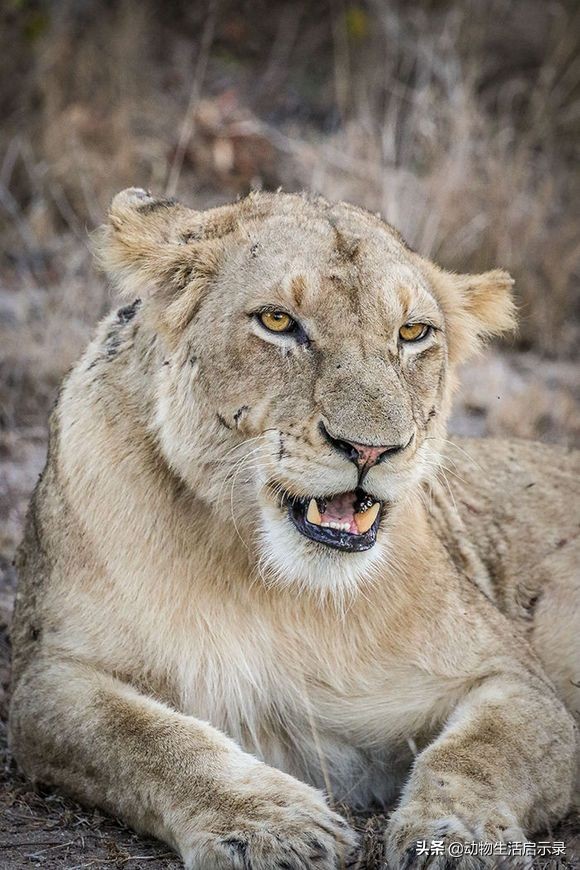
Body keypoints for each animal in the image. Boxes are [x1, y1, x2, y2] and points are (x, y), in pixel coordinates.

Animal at [8, 188, 580, 869]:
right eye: (278, 322)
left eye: (413, 333)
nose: (370, 449)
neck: (268, 581)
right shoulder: (47, 677)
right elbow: (148, 738)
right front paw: (271, 827)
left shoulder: (515, 678)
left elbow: (481, 752)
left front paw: (457, 837)